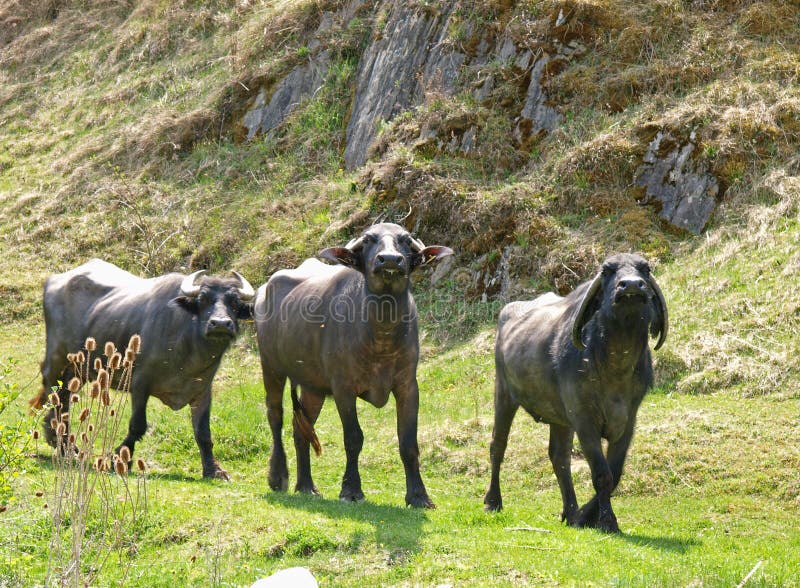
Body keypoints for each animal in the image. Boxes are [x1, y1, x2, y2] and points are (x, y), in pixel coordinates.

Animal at [32, 259, 255, 480]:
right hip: (56, 357)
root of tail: (54, 280)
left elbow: (203, 432)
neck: (187, 348)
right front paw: (120, 459)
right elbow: (138, 425)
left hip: (78, 369)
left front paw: (214, 470)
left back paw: (63, 444)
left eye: (235, 303)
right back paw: (64, 445)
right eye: (203, 300)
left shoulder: (202, 391)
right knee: (53, 393)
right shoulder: (140, 384)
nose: (220, 324)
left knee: (64, 397)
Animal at [254, 223, 452, 508]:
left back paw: (306, 486)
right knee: (275, 416)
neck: (381, 336)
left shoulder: (408, 387)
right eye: (369, 240)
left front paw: (418, 496)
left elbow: (408, 442)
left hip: (313, 387)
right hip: (271, 367)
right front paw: (351, 489)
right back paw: (278, 476)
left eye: (404, 240)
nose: (389, 260)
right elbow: (353, 438)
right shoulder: (343, 389)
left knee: (301, 428)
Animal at [484, 253, 668, 532]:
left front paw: (584, 515)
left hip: (560, 420)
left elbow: (615, 473)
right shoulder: (583, 419)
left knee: (559, 457)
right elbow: (602, 474)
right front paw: (607, 521)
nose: (631, 286)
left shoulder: (628, 420)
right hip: (504, 394)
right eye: (607, 270)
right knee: (498, 445)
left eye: (645, 269)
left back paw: (570, 512)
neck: (615, 364)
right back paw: (493, 501)